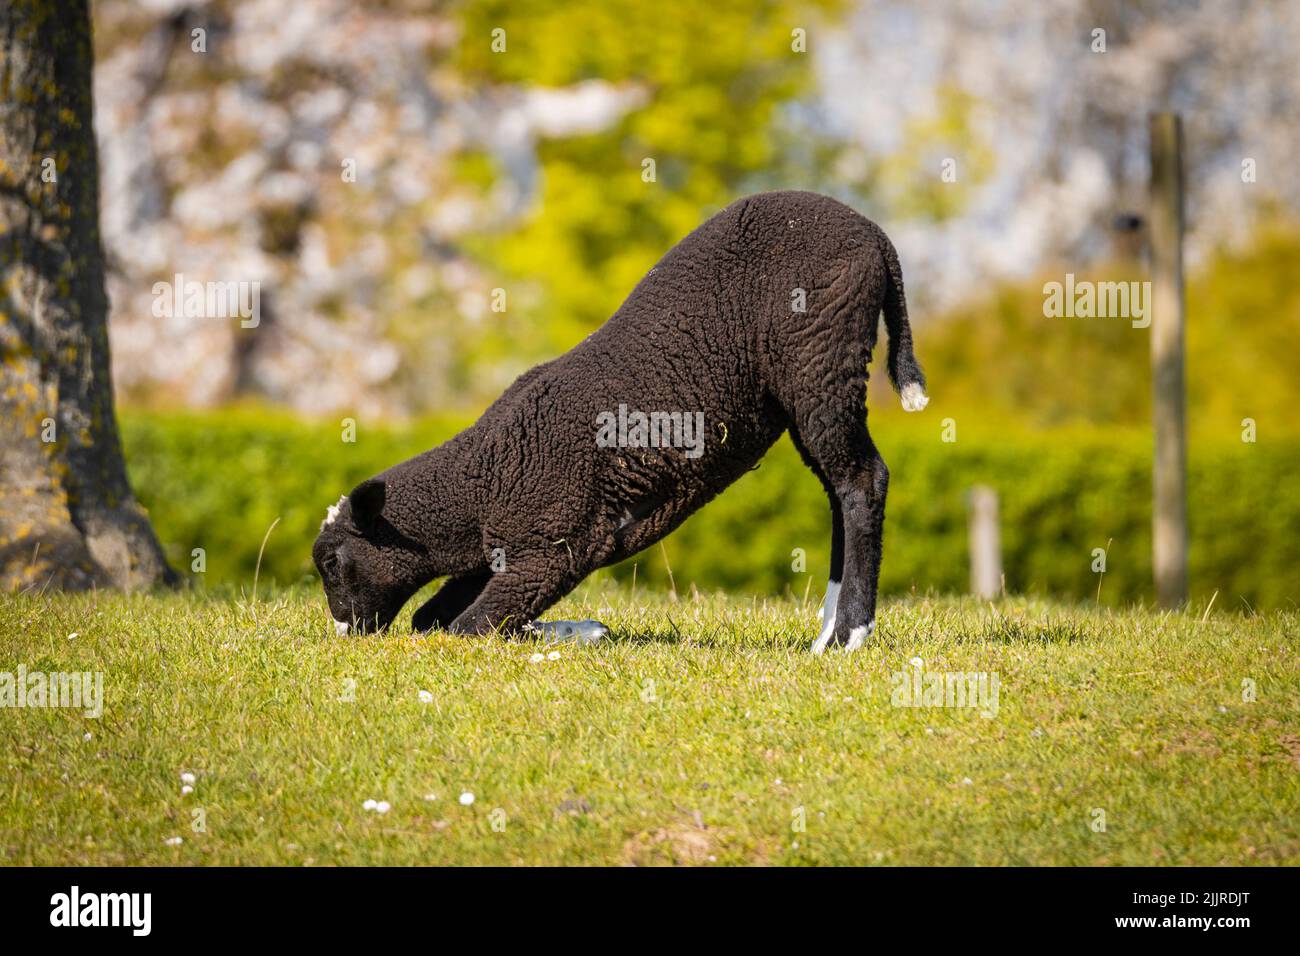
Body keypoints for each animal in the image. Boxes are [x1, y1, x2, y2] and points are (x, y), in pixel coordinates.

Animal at [313, 190, 928, 652]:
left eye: (332, 563)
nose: (344, 634)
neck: (482, 481)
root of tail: (876, 236)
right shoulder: (509, 548)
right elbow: (434, 619)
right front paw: (578, 629)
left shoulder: (556, 544)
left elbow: (467, 627)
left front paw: (578, 630)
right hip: (805, 385)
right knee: (838, 488)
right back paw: (826, 628)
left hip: (820, 357)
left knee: (861, 481)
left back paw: (850, 633)